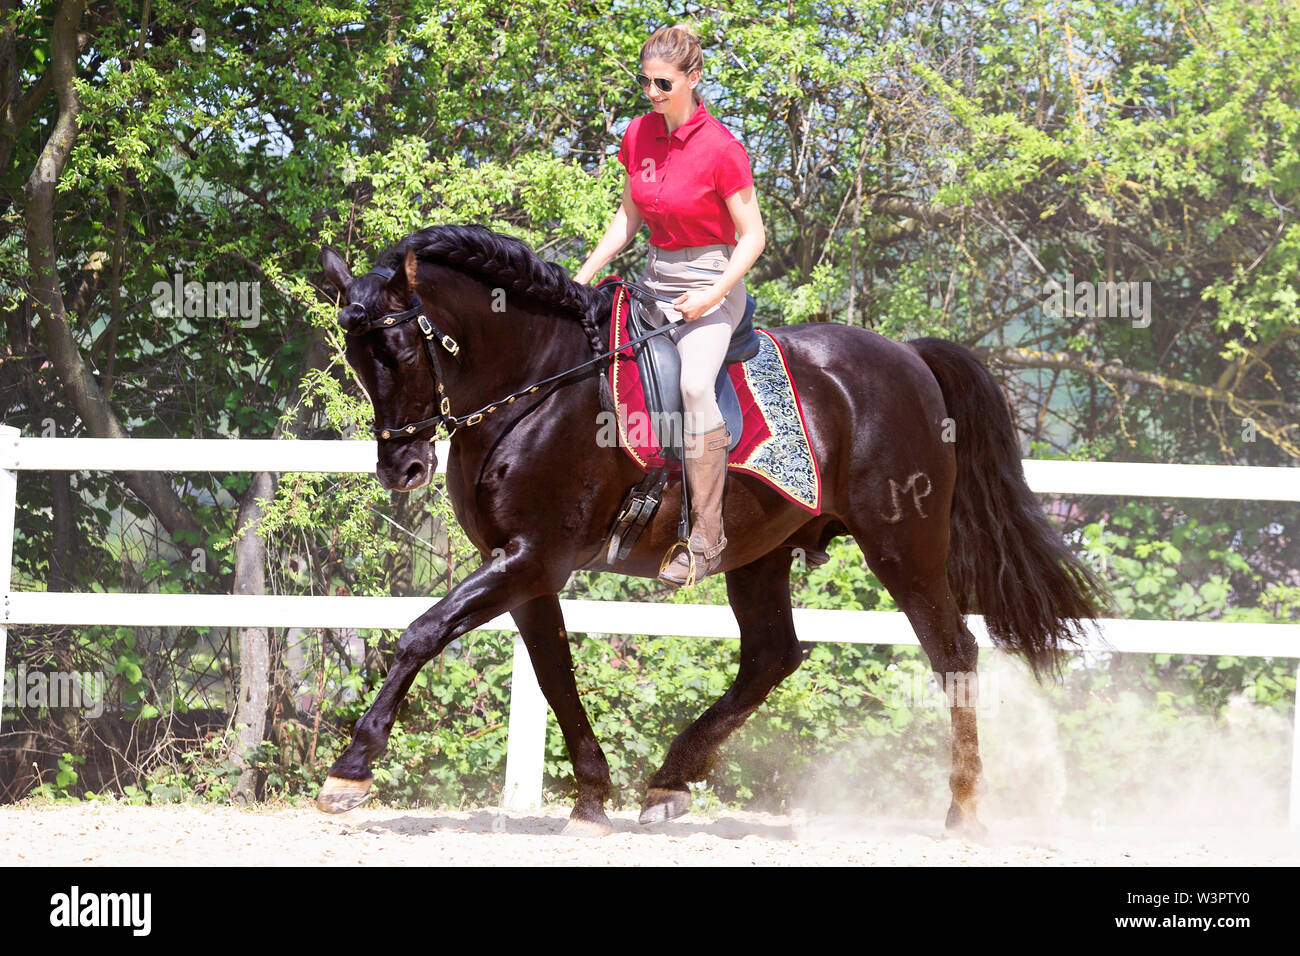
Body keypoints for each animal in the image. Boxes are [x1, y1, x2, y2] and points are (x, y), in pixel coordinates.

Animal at [315, 223, 1108, 837]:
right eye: (354, 358)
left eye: (402, 351)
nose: (402, 466)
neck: (541, 384)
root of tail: (910, 357)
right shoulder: (526, 568)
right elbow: (554, 674)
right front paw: (592, 797)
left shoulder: (533, 557)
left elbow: (422, 633)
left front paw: (352, 769)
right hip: (759, 552)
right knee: (772, 656)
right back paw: (669, 781)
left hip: (903, 546)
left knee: (953, 655)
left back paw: (964, 810)